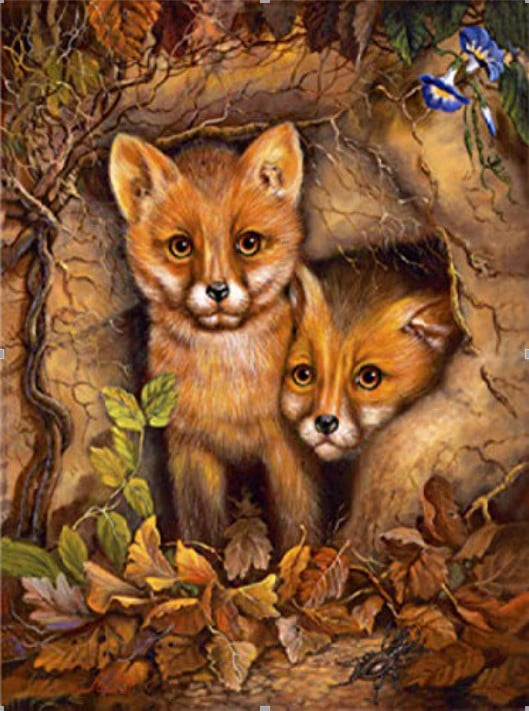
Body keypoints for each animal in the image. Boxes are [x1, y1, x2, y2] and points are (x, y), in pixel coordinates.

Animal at [109, 124, 321, 551]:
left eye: (248, 243)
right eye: (181, 246)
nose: (218, 291)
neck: (230, 395)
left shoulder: (288, 450)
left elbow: (299, 528)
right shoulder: (191, 450)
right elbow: (201, 534)